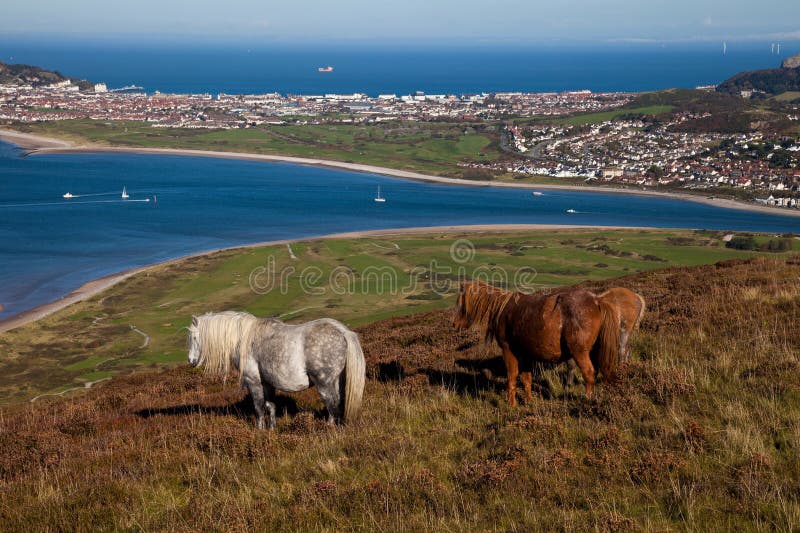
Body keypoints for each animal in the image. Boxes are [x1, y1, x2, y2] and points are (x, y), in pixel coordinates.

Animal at [187, 311, 365, 429]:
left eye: (194, 337)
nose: (191, 361)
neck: (244, 339)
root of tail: (343, 332)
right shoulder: (267, 383)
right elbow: (270, 405)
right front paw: (271, 430)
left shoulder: (253, 381)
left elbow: (258, 407)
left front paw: (259, 431)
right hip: (336, 381)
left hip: (324, 382)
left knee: (332, 404)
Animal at [453, 280, 620, 403]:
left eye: (461, 303)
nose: (454, 324)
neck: (503, 309)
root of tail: (596, 300)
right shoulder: (525, 354)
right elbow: (527, 379)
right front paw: (528, 402)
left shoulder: (508, 351)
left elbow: (512, 376)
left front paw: (511, 404)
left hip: (580, 352)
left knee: (589, 374)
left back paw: (587, 400)